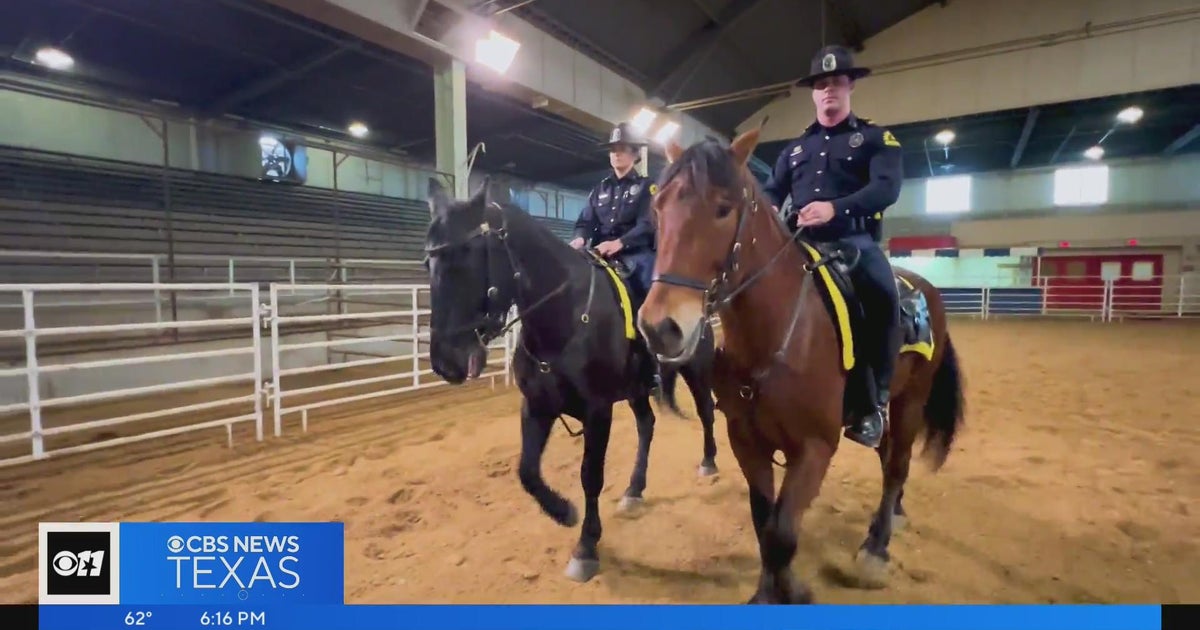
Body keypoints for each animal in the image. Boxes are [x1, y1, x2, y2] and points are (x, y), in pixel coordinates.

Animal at [422, 175, 720, 583]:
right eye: (429, 262)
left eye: (467, 257)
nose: (445, 362)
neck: (563, 318)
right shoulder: (536, 407)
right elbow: (527, 472)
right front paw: (563, 512)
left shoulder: (598, 412)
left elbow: (590, 475)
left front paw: (586, 547)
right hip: (636, 390)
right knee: (647, 425)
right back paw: (634, 490)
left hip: (696, 368)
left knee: (706, 411)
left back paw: (708, 462)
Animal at [636, 127, 966, 604]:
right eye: (658, 209)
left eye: (722, 208)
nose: (660, 327)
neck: (777, 340)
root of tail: (926, 292)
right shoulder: (746, 442)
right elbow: (764, 523)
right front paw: (769, 592)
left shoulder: (814, 449)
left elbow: (782, 534)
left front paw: (789, 590)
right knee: (890, 459)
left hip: (910, 402)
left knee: (897, 466)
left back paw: (876, 547)